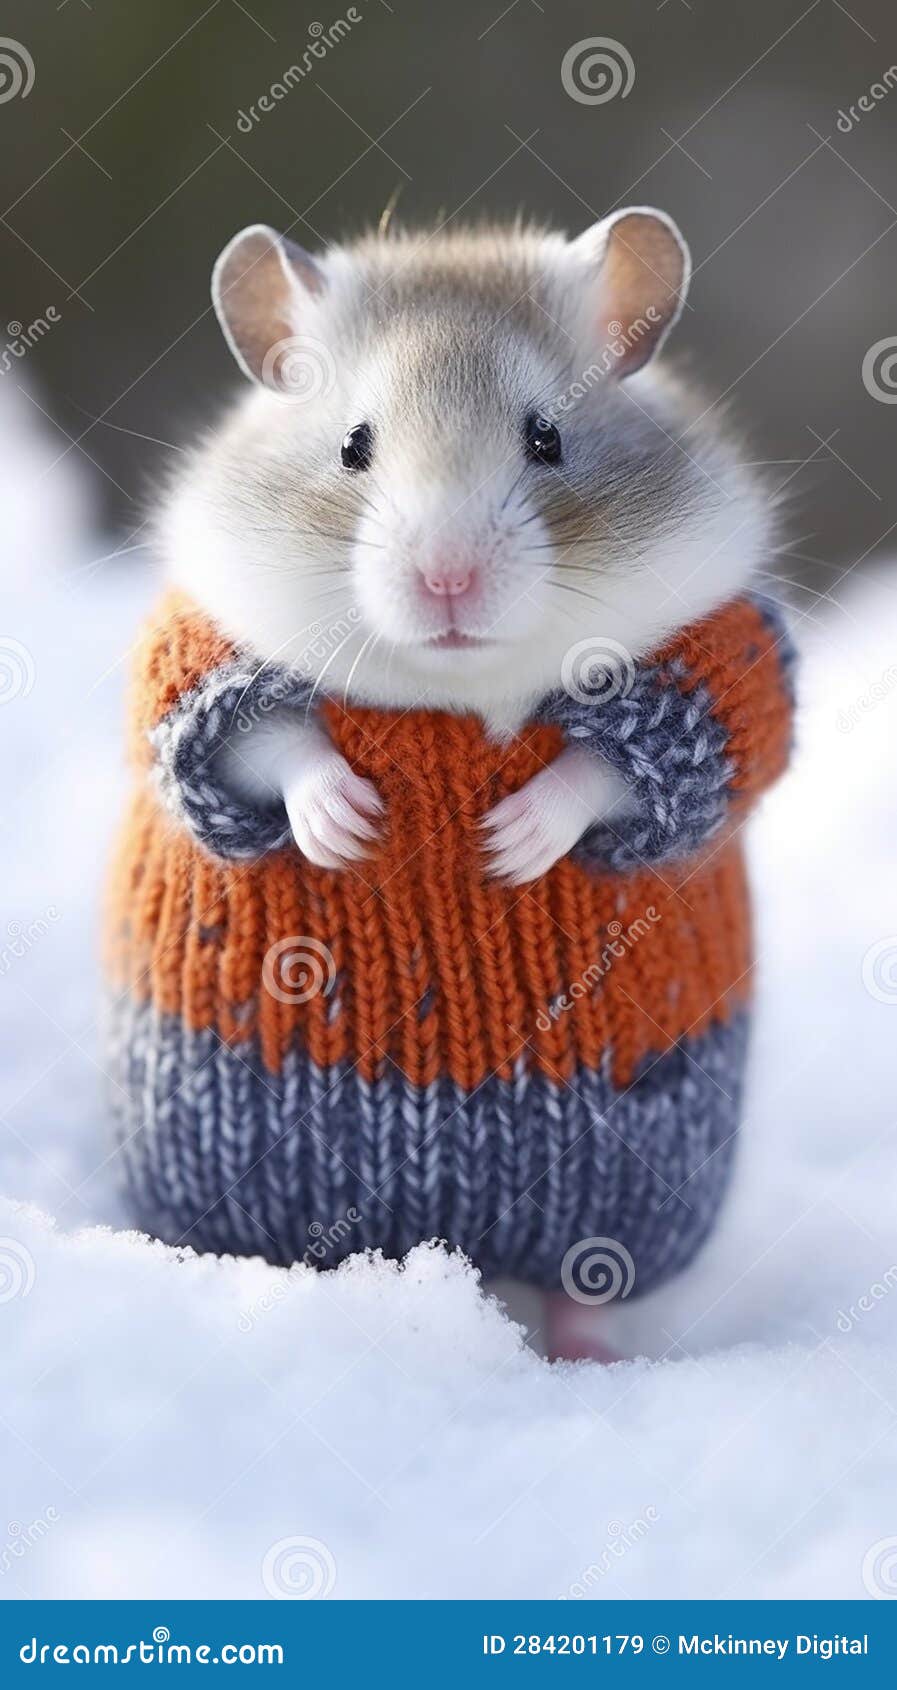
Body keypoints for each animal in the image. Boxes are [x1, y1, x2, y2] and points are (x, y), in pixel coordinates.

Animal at [158, 209, 772, 885]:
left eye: (547, 438)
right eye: (352, 445)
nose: (447, 580)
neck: (464, 684)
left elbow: (604, 776)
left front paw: (503, 848)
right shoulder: (218, 687)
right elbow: (270, 743)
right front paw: (350, 830)